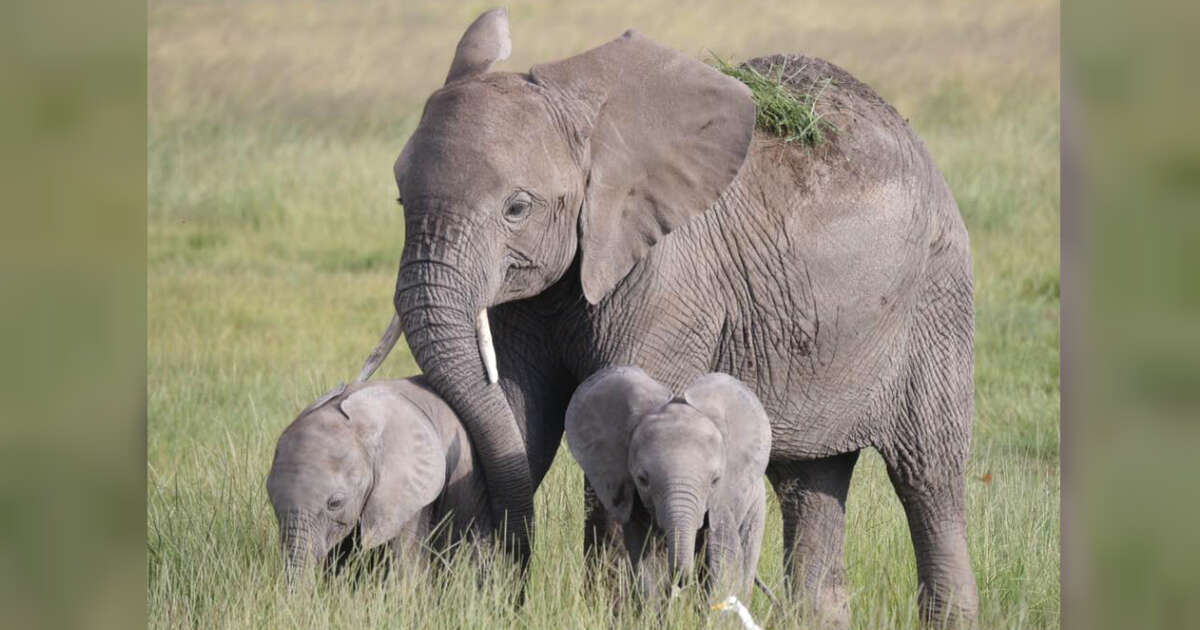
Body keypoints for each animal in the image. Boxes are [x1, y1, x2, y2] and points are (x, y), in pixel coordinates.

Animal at [564, 367, 771, 602]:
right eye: (642, 480)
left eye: (715, 481)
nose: (680, 581)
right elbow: (647, 564)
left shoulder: (724, 499)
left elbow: (723, 560)